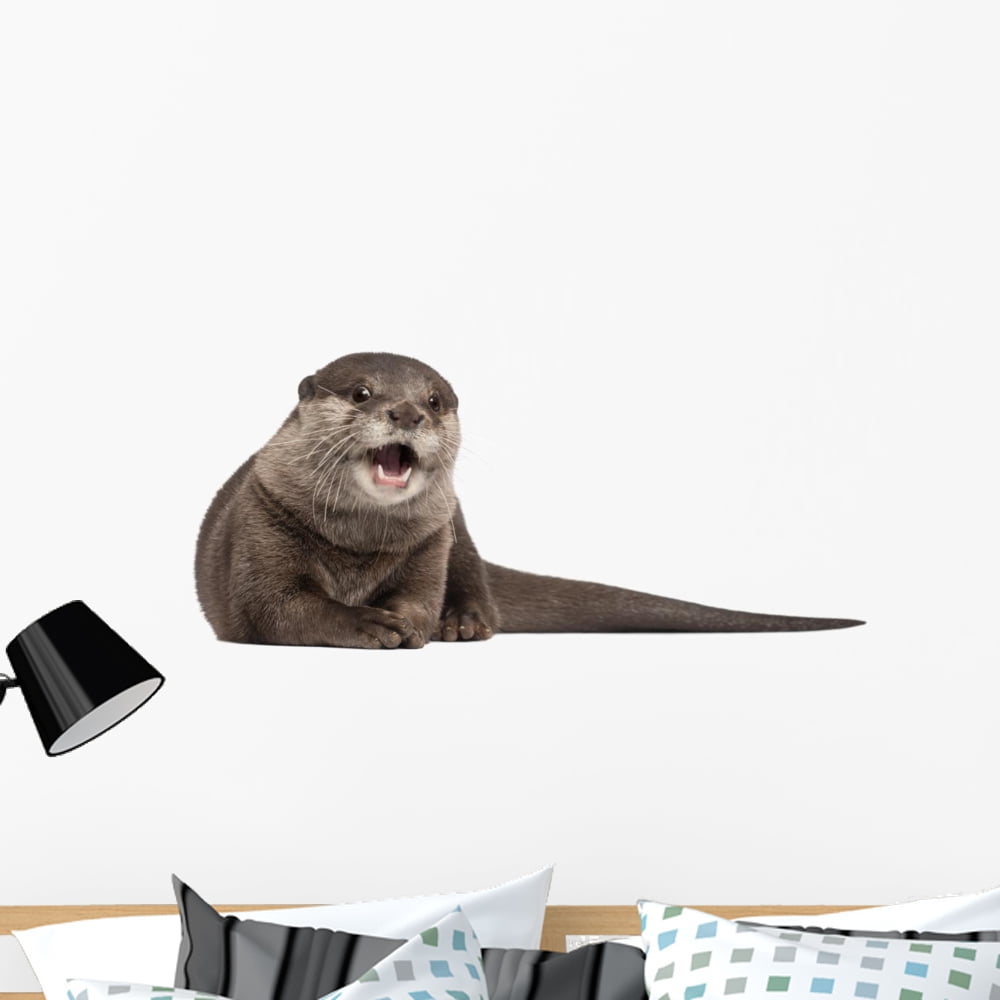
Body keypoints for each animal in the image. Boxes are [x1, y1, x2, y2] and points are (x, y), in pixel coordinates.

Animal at [195, 352, 863, 648]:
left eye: (434, 399)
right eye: (361, 392)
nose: (407, 412)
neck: (356, 547)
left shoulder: (429, 545)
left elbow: (418, 600)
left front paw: (411, 622)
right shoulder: (261, 526)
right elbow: (282, 608)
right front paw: (368, 623)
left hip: (457, 526)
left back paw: (464, 622)